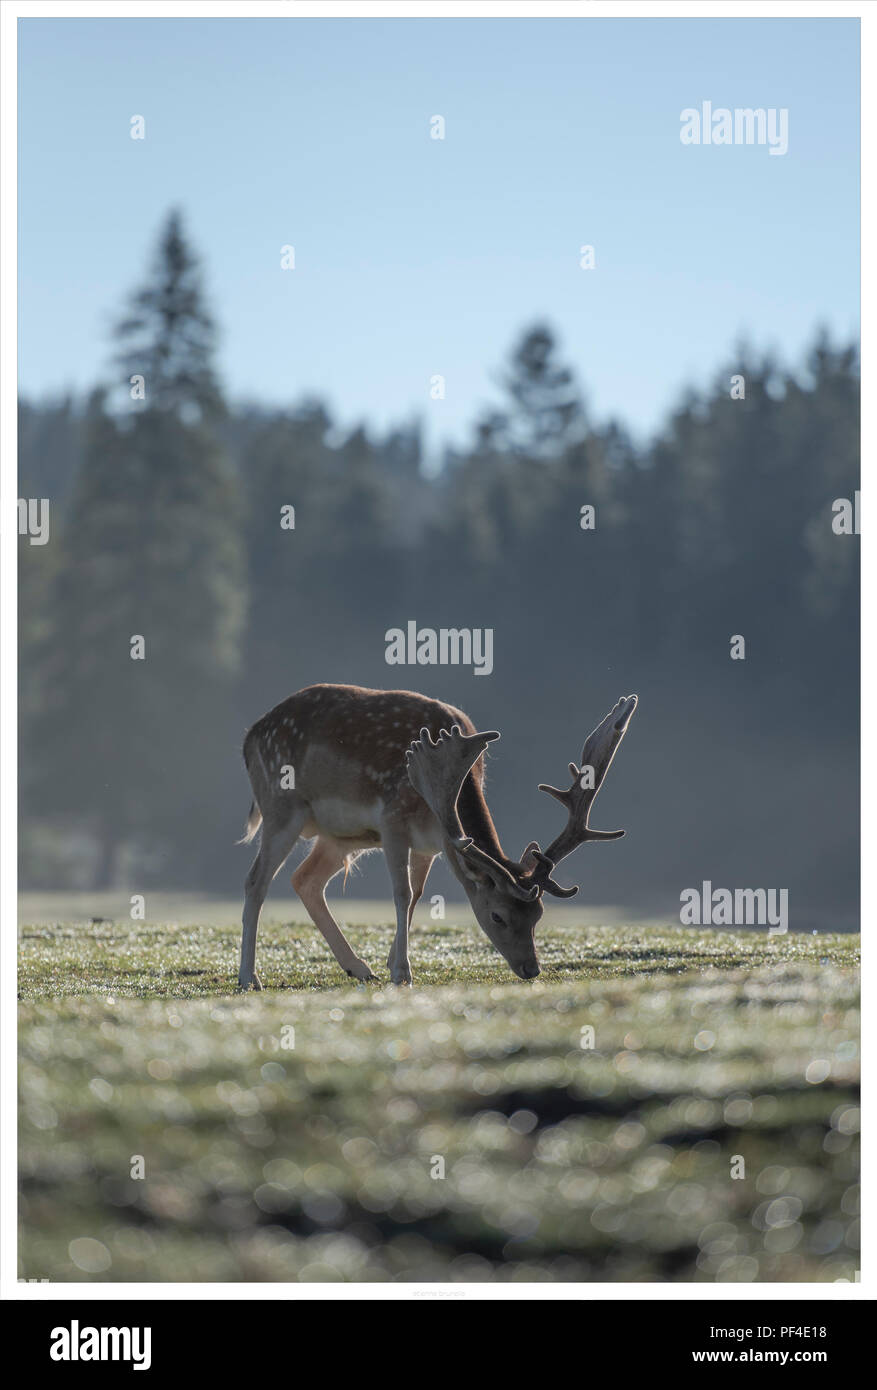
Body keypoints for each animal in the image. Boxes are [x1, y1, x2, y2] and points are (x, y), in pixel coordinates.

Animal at [237, 683, 637, 989]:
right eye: (498, 916)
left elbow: (417, 896)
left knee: (305, 879)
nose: (531, 969)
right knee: (256, 880)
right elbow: (401, 893)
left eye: (538, 914)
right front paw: (403, 972)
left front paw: (390, 963)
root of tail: (250, 736)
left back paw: (359, 968)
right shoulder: (393, 820)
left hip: (341, 838)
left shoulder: (431, 845)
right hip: (281, 806)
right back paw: (249, 977)